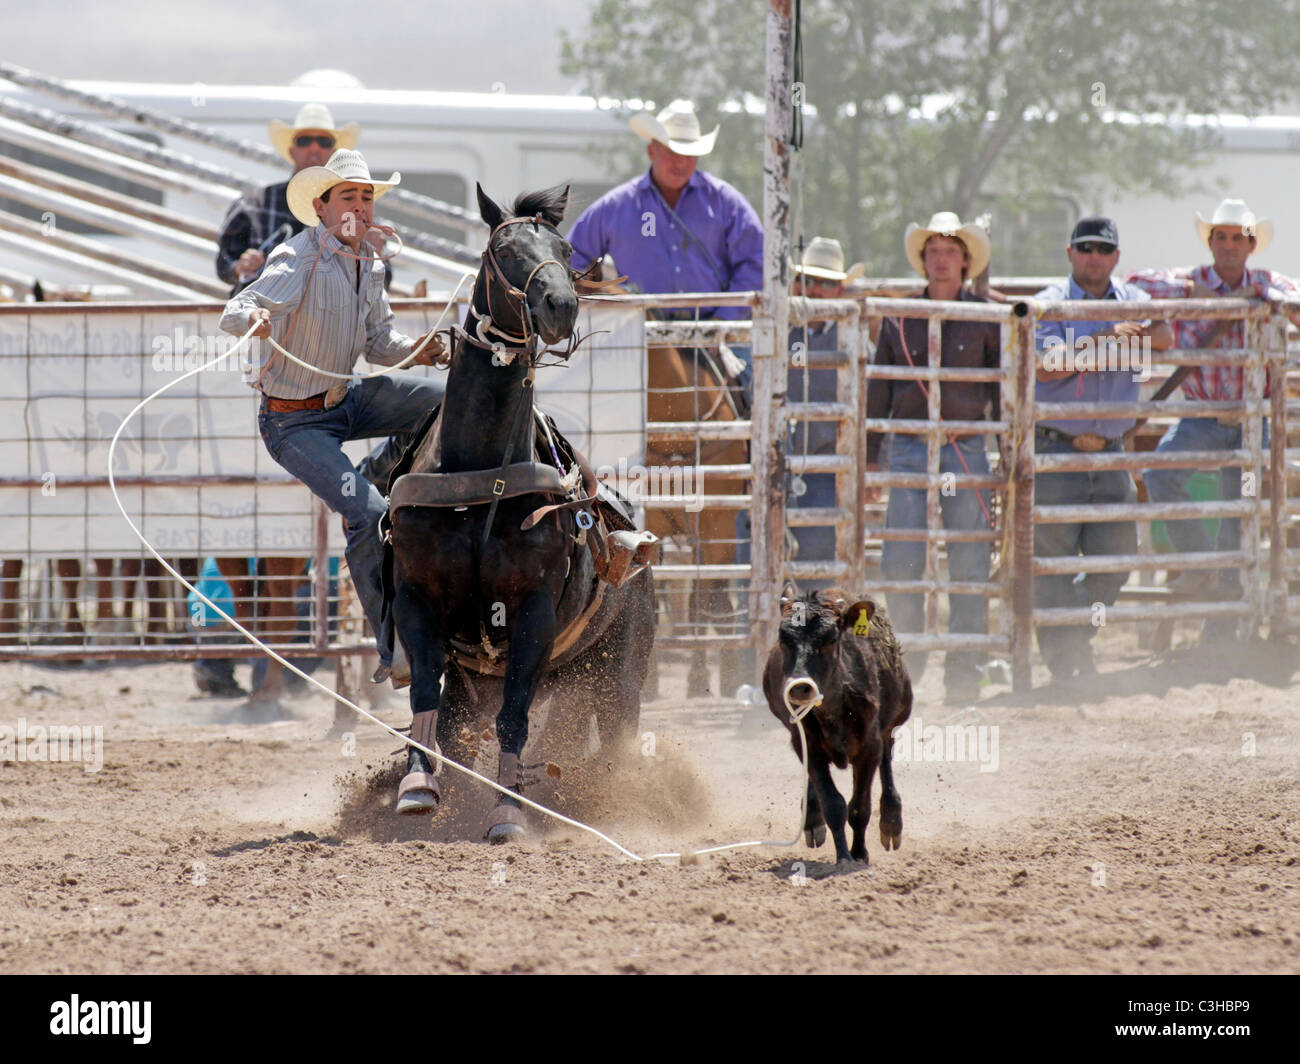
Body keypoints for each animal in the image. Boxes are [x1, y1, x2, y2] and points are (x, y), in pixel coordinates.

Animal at [762, 585, 913, 866]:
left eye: (830, 639)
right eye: (783, 639)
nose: (800, 687)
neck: (833, 709)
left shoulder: (869, 748)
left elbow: (859, 808)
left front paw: (859, 854)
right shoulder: (808, 744)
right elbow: (833, 804)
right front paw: (843, 855)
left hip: (897, 715)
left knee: (887, 753)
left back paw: (890, 821)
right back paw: (812, 819)